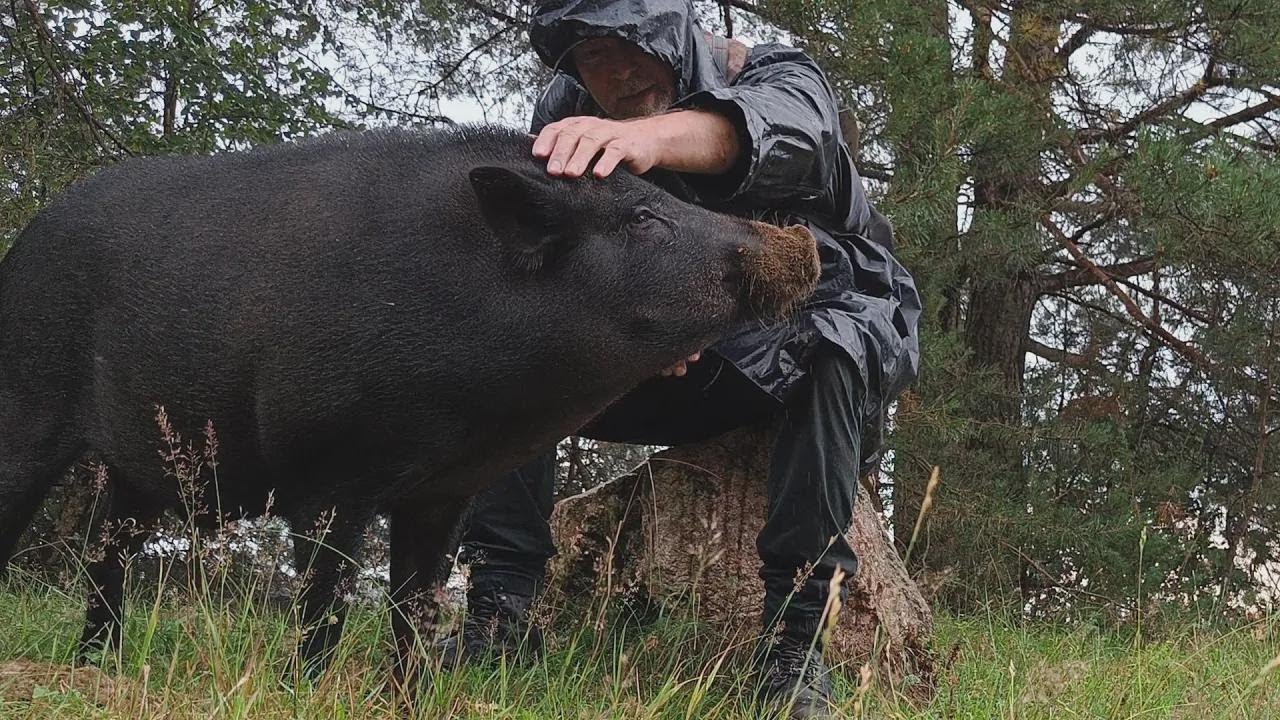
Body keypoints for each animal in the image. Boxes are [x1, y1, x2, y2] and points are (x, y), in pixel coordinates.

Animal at [0, 125, 819, 679]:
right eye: (645, 217)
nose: (801, 242)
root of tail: (27, 236)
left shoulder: (443, 492)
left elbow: (415, 605)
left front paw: (412, 690)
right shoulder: (327, 472)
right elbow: (326, 598)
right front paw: (307, 688)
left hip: (136, 462)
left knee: (107, 546)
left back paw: (98, 666)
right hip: (28, 395)